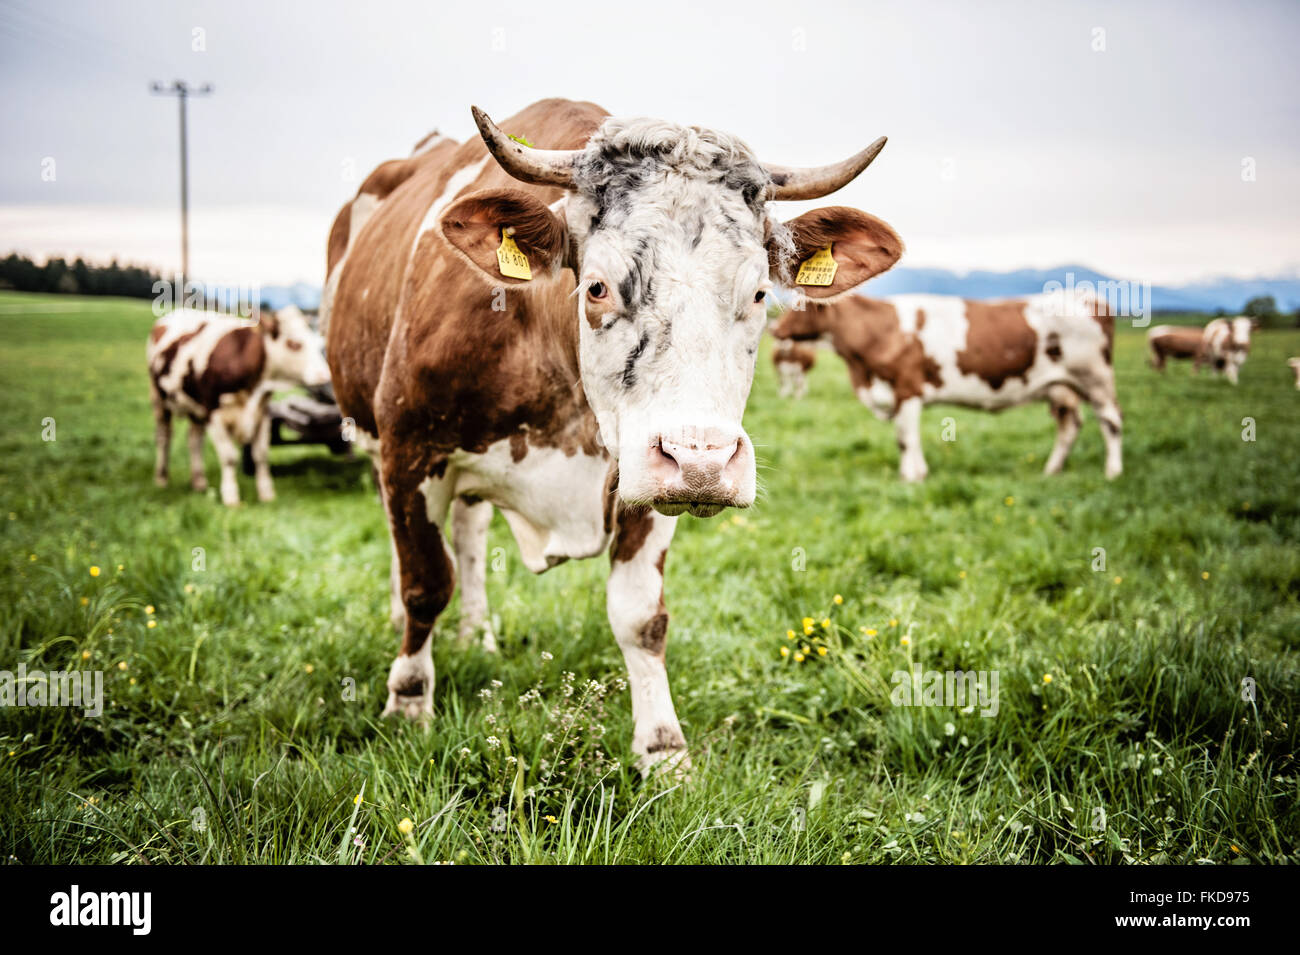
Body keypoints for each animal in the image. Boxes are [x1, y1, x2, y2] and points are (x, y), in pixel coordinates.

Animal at [148, 306, 331, 505]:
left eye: (317, 343)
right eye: (294, 344)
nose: (325, 375)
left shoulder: (262, 413)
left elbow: (261, 455)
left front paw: (267, 494)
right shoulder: (213, 414)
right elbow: (229, 457)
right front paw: (231, 497)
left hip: (195, 410)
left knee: (195, 440)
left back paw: (199, 482)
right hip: (159, 399)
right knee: (164, 437)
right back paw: (161, 479)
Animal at [322, 98, 903, 772]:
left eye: (760, 292)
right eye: (597, 286)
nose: (704, 461)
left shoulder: (648, 481)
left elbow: (640, 616)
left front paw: (664, 749)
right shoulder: (410, 450)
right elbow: (423, 583)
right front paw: (409, 703)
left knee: (469, 535)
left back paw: (478, 633)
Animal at [770, 291, 1122, 482]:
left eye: (800, 307)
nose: (774, 328)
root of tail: (1091, 297)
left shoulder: (908, 389)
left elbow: (907, 438)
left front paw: (913, 476)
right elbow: (902, 439)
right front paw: (909, 474)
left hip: (1096, 379)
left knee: (1112, 423)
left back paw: (1113, 472)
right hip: (1062, 388)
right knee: (1070, 426)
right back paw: (1052, 470)